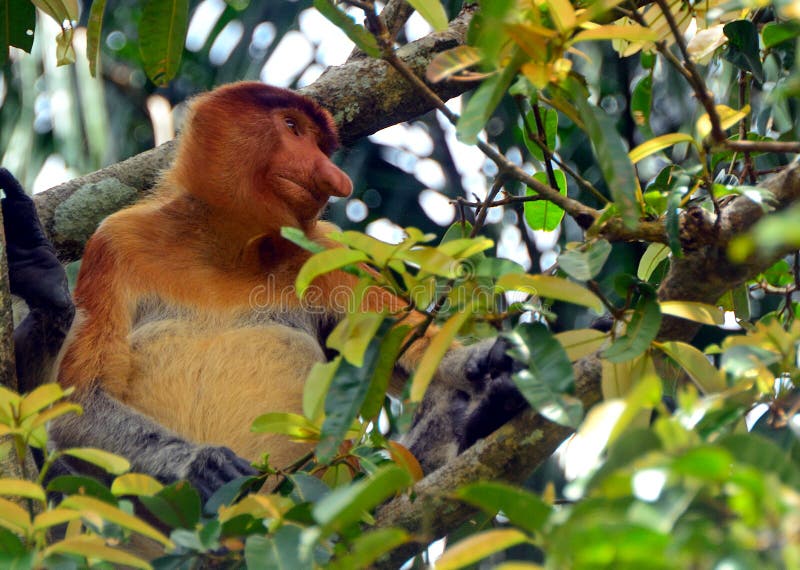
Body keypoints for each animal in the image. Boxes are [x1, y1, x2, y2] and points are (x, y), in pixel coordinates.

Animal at [40, 82, 524, 499]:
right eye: (291, 127)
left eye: (321, 146)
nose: (334, 178)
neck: (227, 249)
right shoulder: (115, 244)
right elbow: (78, 405)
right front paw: (202, 464)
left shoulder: (328, 253)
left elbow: (413, 352)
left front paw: (488, 357)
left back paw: (489, 412)